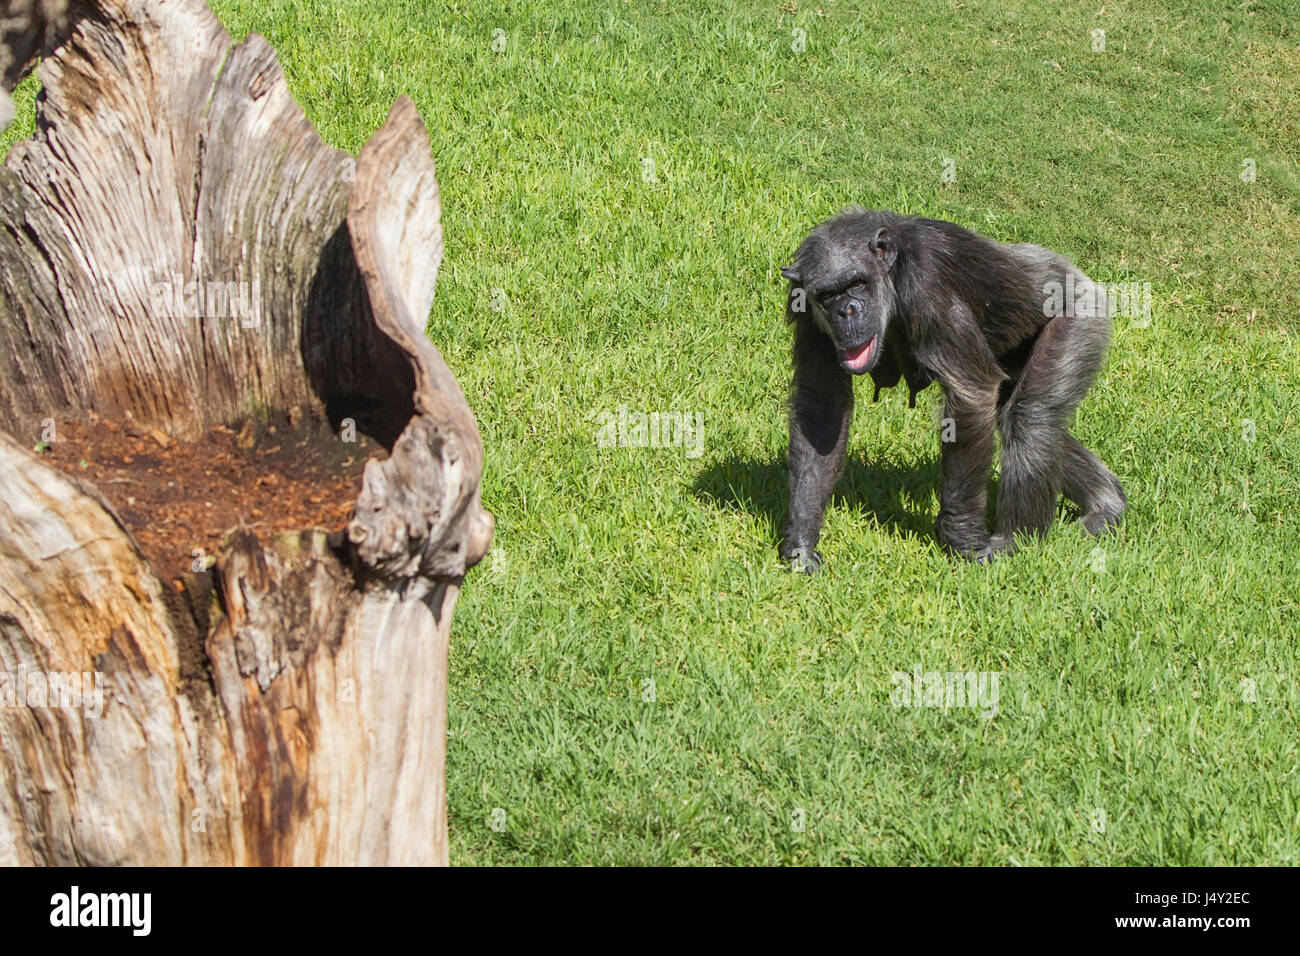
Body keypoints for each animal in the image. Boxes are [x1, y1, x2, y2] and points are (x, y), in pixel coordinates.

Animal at [778, 208, 1126, 572]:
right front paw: (802, 545)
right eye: (827, 295)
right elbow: (823, 405)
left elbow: (970, 396)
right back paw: (1106, 503)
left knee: (1032, 418)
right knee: (1016, 417)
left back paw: (1016, 540)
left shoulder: (929, 288)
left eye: (857, 283)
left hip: (1082, 316)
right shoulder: (802, 306)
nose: (846, 310)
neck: (893, 275)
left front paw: (965, 541)